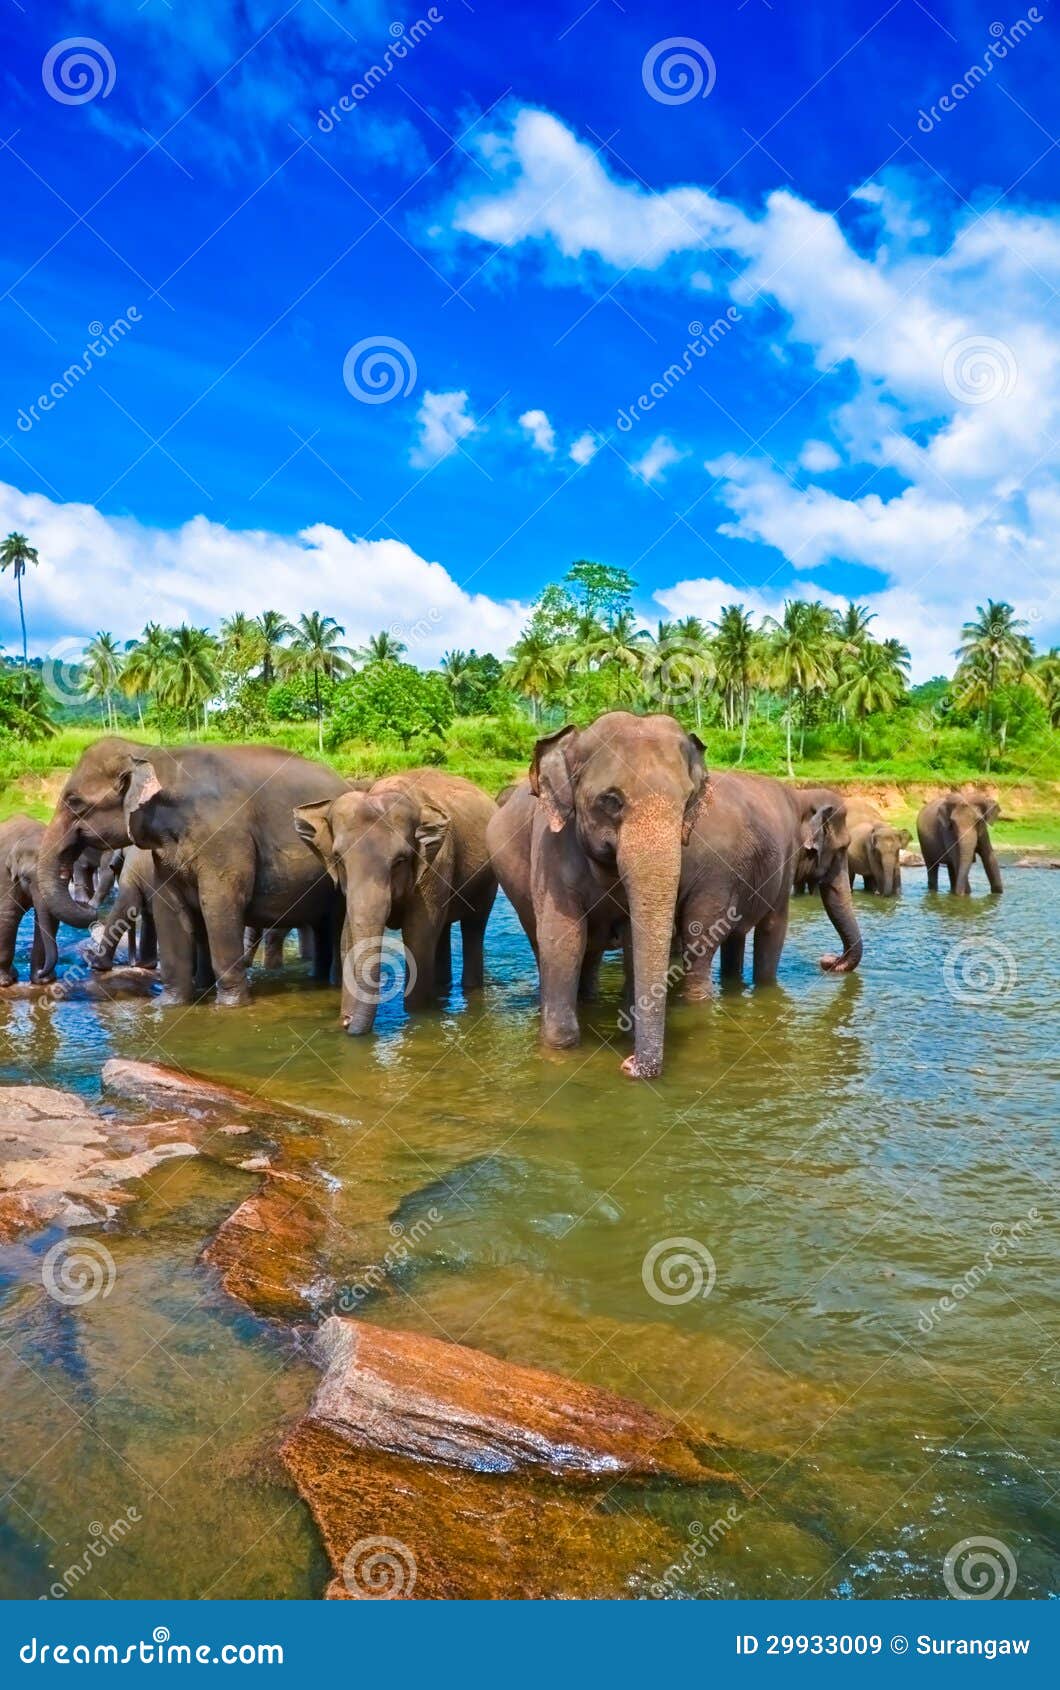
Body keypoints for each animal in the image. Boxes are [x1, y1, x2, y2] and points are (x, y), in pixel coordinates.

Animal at [0, 815, 60, 984]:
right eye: (27, 878)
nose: (41, 972)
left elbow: (50, 918)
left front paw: (44, 981)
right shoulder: (4, 876)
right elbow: (8, 915)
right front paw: (4, 982)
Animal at [36, 737, 347, 1005]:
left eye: (74, 801)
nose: (90, 911)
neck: (149, 753)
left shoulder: (225, 838)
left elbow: (219, 905)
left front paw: (231, 1005)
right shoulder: (163, 852)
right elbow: (171, 909)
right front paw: (169, 1004)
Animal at [294, 769, 498, 1035]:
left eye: (400, 861)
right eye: (338, 858)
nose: (346, 1021)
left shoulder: (435, 864)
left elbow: (417, 938)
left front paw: (416, 1017)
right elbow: (348, 937)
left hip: (488, 880)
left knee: (473, 927)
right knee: (441, 932)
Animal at [486, 712, 710, 1079]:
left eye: (687, 800)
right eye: (611, 800)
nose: (629, 1065)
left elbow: (634, 938)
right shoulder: (550, 849)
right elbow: (563, 940)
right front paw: (559, 1048)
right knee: (545, 943)